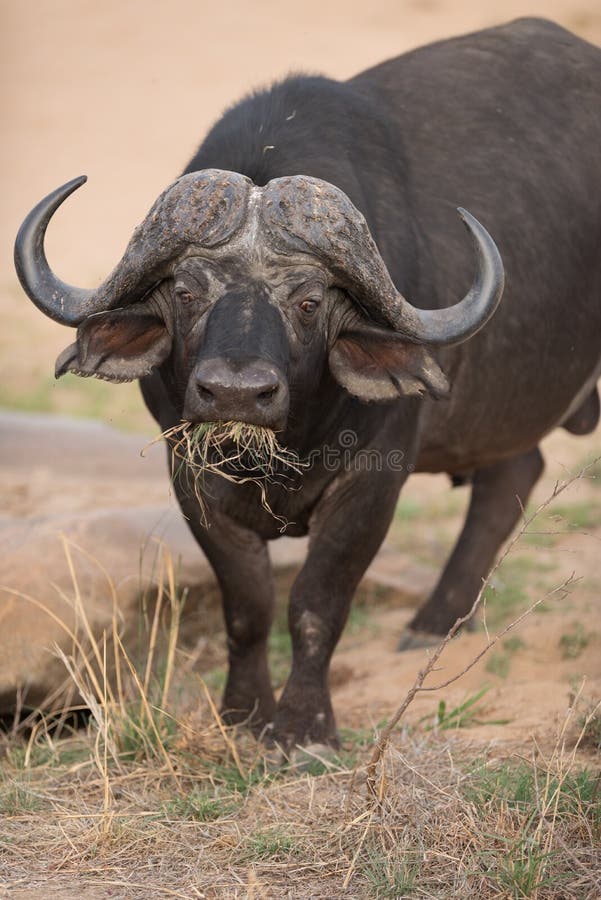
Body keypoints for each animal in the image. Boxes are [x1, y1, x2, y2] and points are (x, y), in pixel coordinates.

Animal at [15, 18, 601, 749]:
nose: (236, 393)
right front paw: (243, 716)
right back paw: (433, 624)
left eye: (310, 301)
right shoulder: (189, 475)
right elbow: (248, 606)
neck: (285, 446)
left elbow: (316, 604)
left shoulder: (374, 480)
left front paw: (303, 728)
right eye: (185, 291)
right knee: (513, 471)